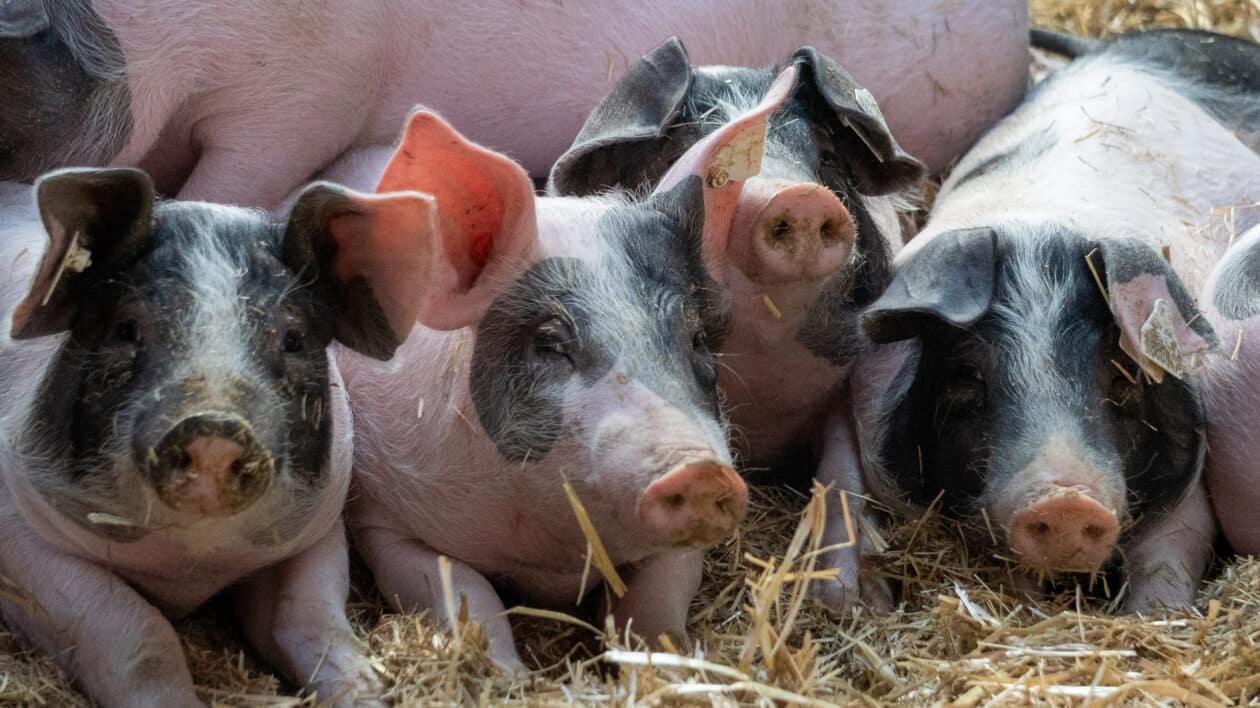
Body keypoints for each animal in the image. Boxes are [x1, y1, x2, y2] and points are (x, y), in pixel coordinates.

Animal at [0, 167, 433, 706]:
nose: (214, 426)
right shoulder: (20, 525)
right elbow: (136, 635)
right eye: (126, 329)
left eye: (294, 340)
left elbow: (315, 622)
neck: (192, 564)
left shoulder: (319, 526)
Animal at [325, 76, 827, 669]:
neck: (554, 558)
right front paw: (511, 675)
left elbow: (655, 604)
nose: (700, 472)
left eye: (696, 338)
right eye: (549, 342)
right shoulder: (386, 514)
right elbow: (470, 597)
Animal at [547, 39, 926, 613]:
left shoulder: (844, 387)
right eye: (682, 155)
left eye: (826, 156)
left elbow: (841, 474)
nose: (796, 195)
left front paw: (853, 599)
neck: (766, 373)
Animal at [852, 27, 1260, 612]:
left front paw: (1149, 615)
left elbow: (1170, 554)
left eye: (1122, 375)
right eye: (969, 378)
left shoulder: (1189, 478)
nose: (1066, 501)